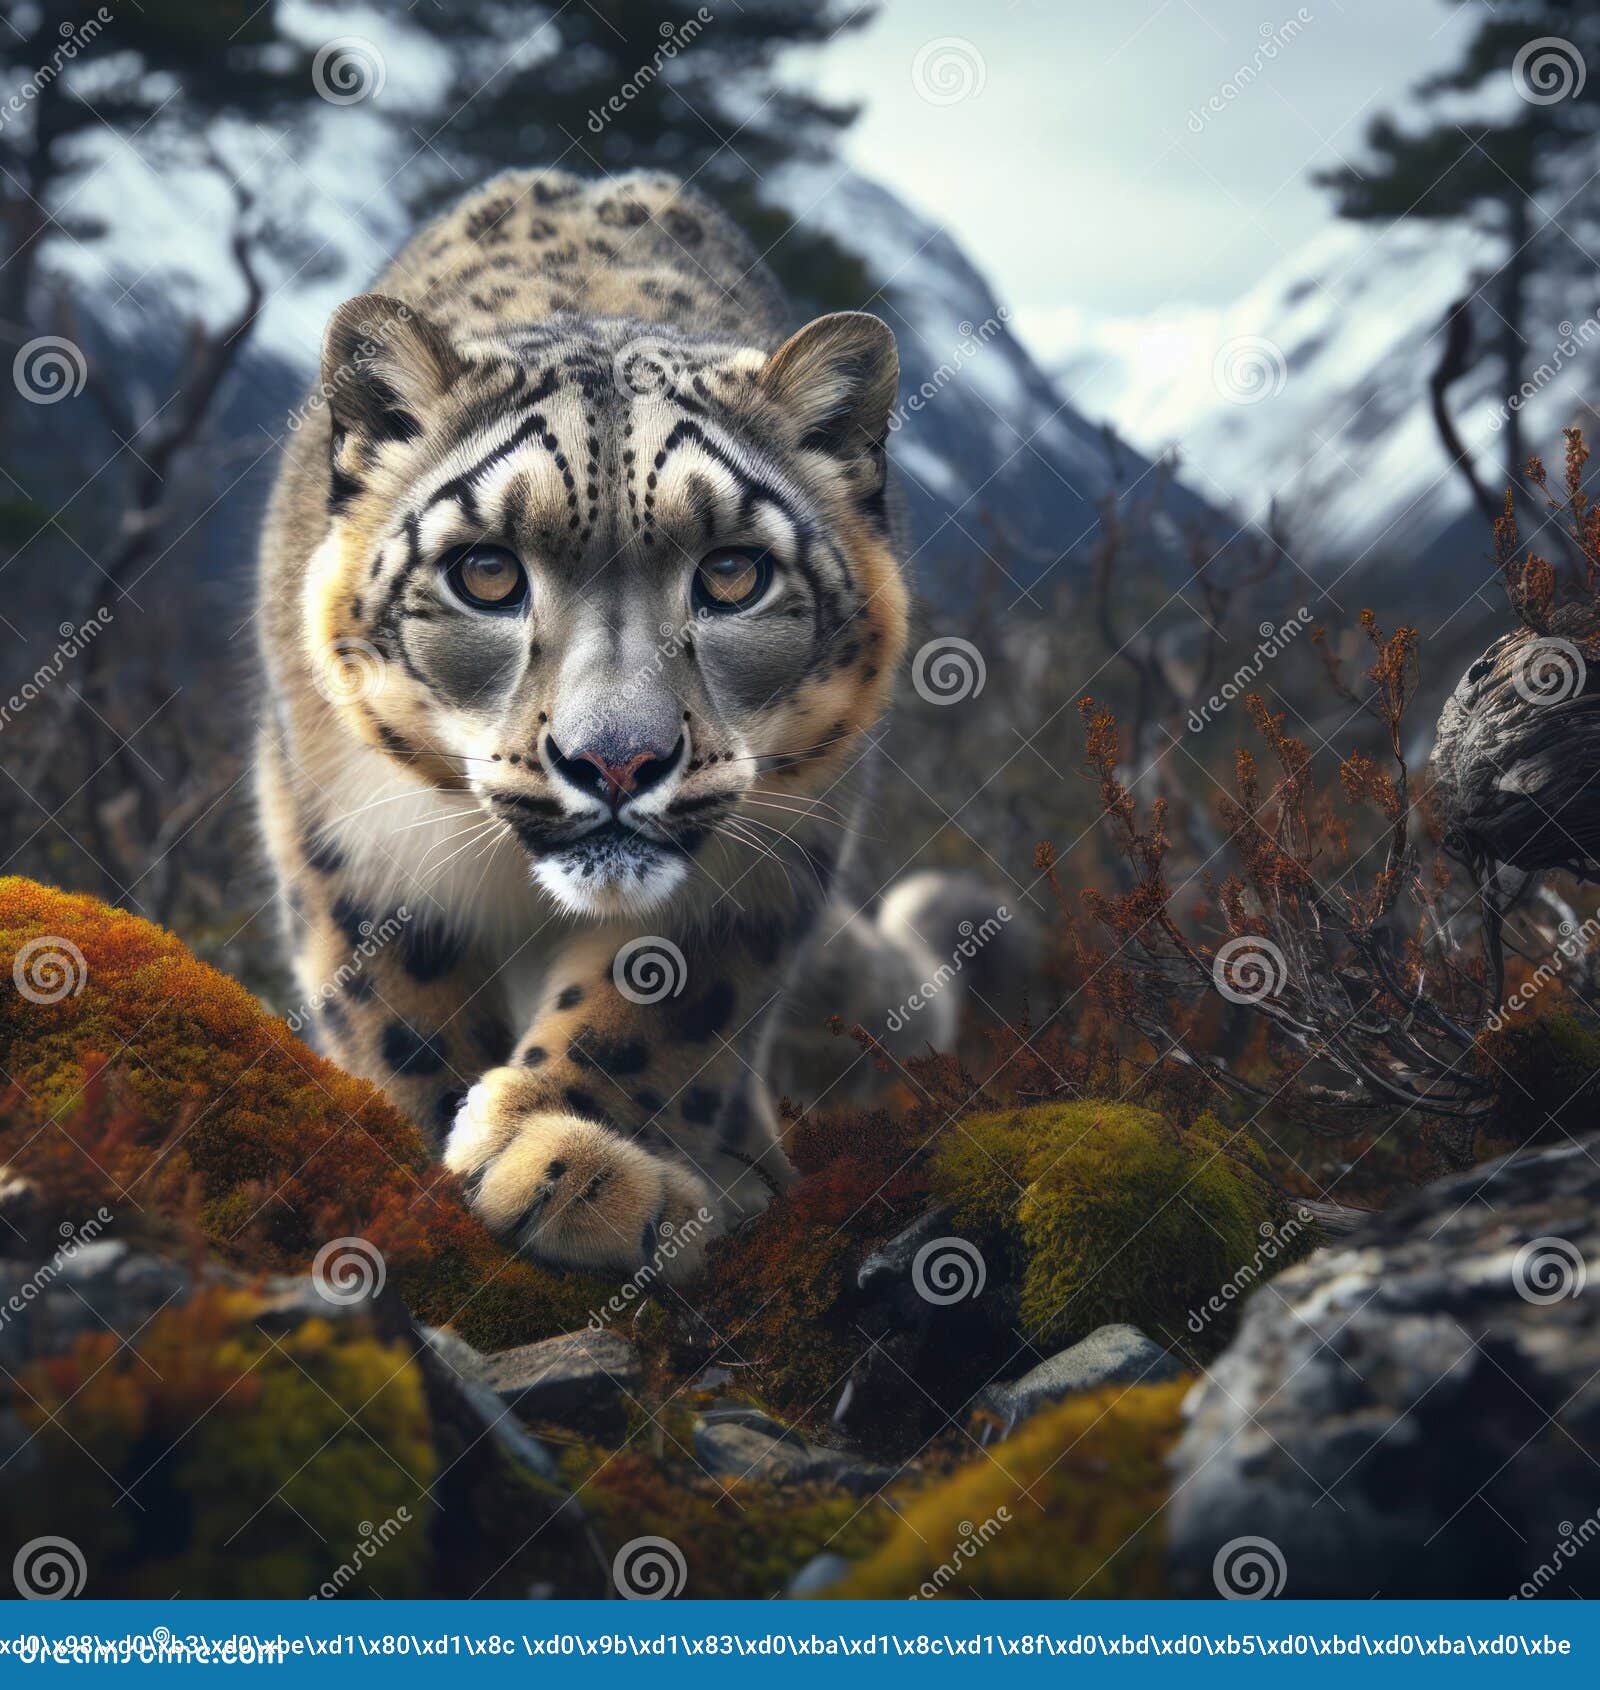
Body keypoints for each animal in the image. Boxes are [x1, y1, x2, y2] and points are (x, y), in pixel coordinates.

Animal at [254, 167, 1017, 1287]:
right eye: (486, 572)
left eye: (733, 572)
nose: (617, 761)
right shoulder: (352, 840)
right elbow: (400, 1011)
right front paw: (436, 1147)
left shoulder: (768, 850)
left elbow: (654, 1008)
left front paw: (571, 1161)